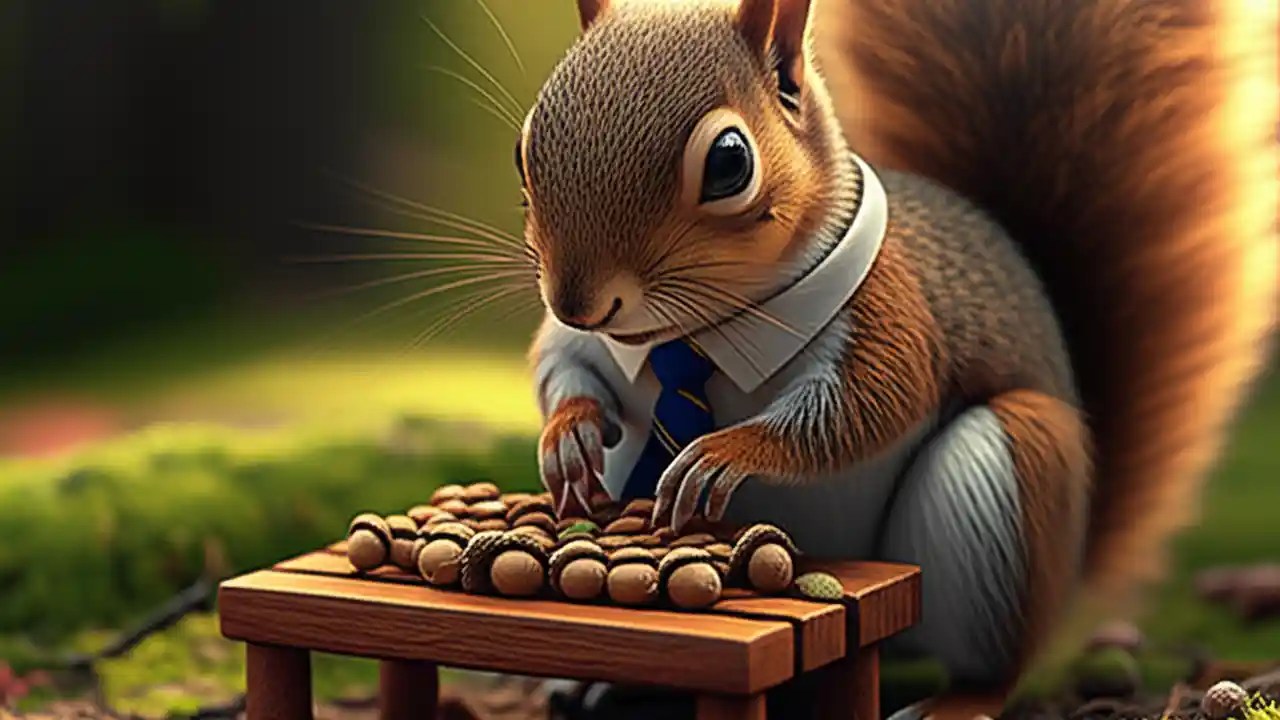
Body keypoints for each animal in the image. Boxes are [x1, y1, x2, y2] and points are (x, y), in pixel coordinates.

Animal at [523, 0, 1278, 716]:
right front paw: (569, 432)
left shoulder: (889, 313)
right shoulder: (590, 342)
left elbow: (871, 404)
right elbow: (562, 364)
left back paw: (946, 703)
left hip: (996, 485)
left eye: (730, 163)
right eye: (526, 145)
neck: (694, 333)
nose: (580, 301)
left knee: (994, 669)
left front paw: (722, 453)